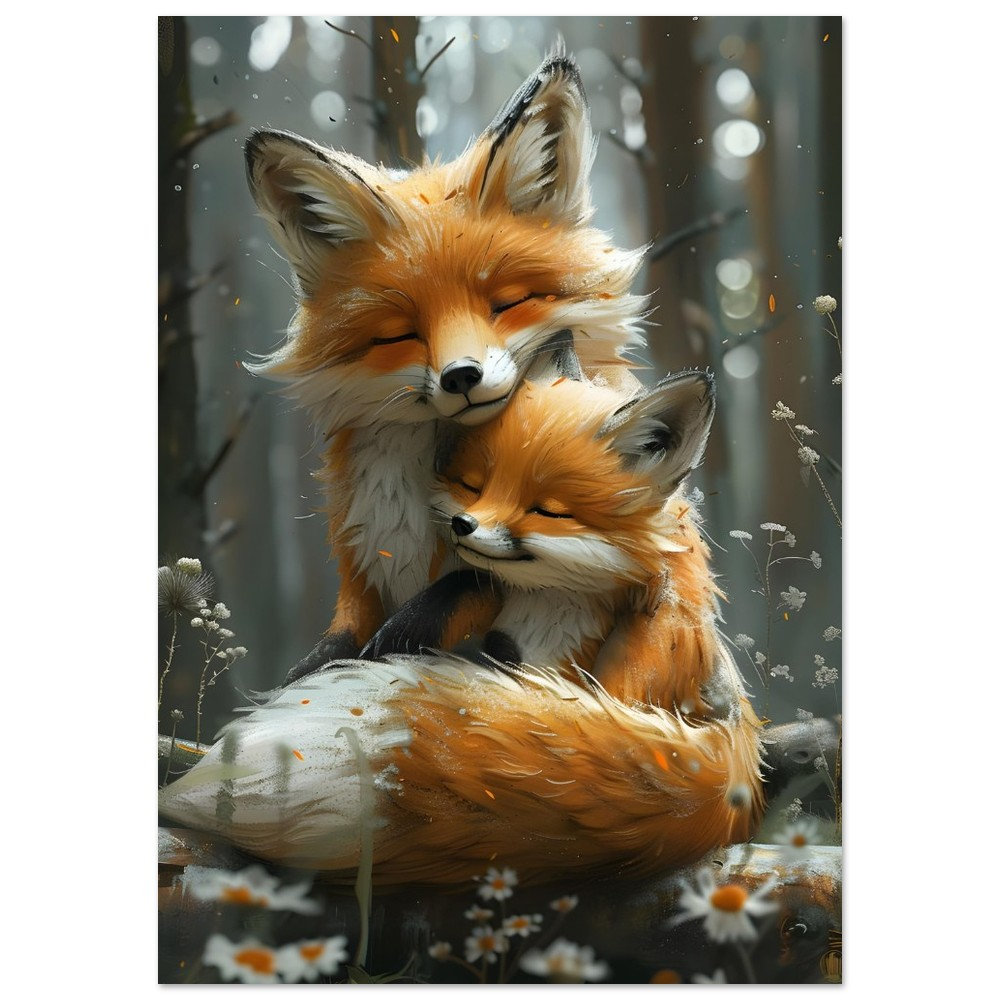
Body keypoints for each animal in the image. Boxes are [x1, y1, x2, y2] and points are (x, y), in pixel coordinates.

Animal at [159, 370, 764, 885]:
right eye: (475, 484)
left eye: (548, 510)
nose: (462, 524)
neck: (545, 601)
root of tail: (740, 742)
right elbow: (452, 594)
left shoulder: (568, 651)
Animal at [243, 47, 648, 678]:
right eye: (401, 334)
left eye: (507, 303)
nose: (461, 377)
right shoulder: (358, 564)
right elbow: (333, 642)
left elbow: (468, 586)